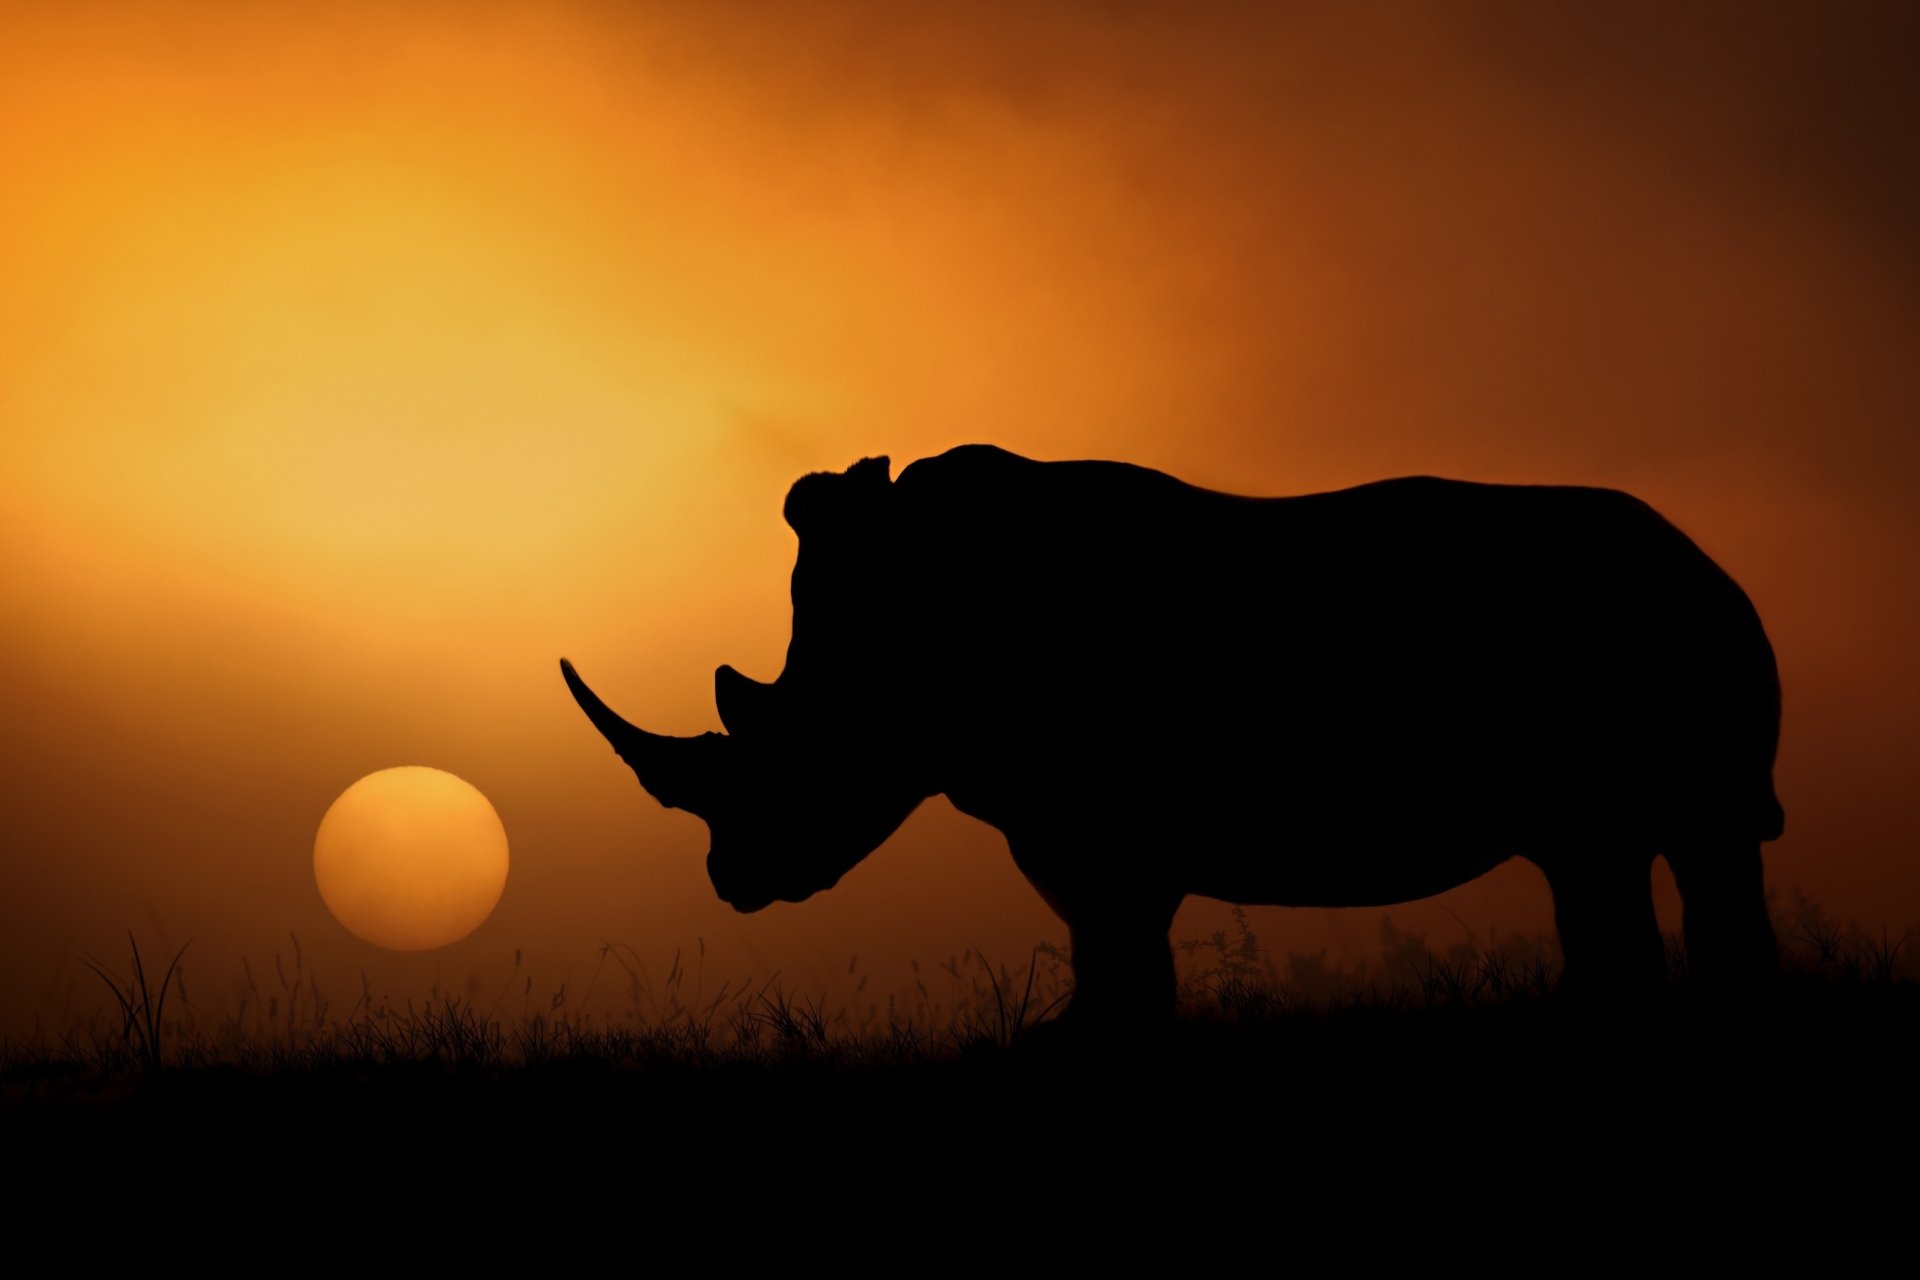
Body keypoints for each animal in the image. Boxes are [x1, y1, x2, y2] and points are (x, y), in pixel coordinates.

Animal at [562, 445, 1783, 1023]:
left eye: (788, 756)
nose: (732, 881)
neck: (895, 648)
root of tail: (1711, 562)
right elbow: (1114, 939)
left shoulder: (1080, 811)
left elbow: (1112, 934)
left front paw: (1079, 1044)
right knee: (1617, 854)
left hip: (1664, 633)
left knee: (1668, 842)